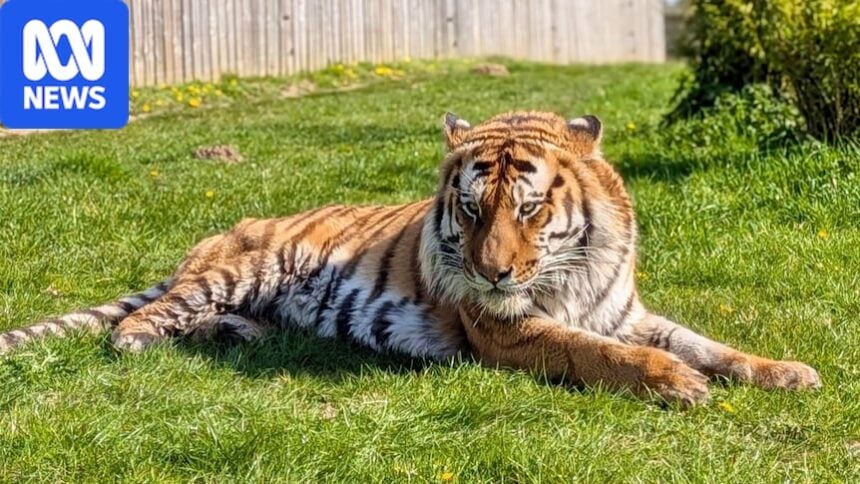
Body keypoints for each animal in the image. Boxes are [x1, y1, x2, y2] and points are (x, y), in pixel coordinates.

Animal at [0, 111, 820, 405]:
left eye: (529, 209)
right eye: (472, 208)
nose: (492, 273)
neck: (575, 267)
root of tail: (217, 236)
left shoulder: (624, 312)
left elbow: (707, 343)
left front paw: (788, 372)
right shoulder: (507, 331)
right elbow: (597, 354)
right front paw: (676, 383)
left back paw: (249, 336)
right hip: (240, 269)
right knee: (148, 320)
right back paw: (146, 341)